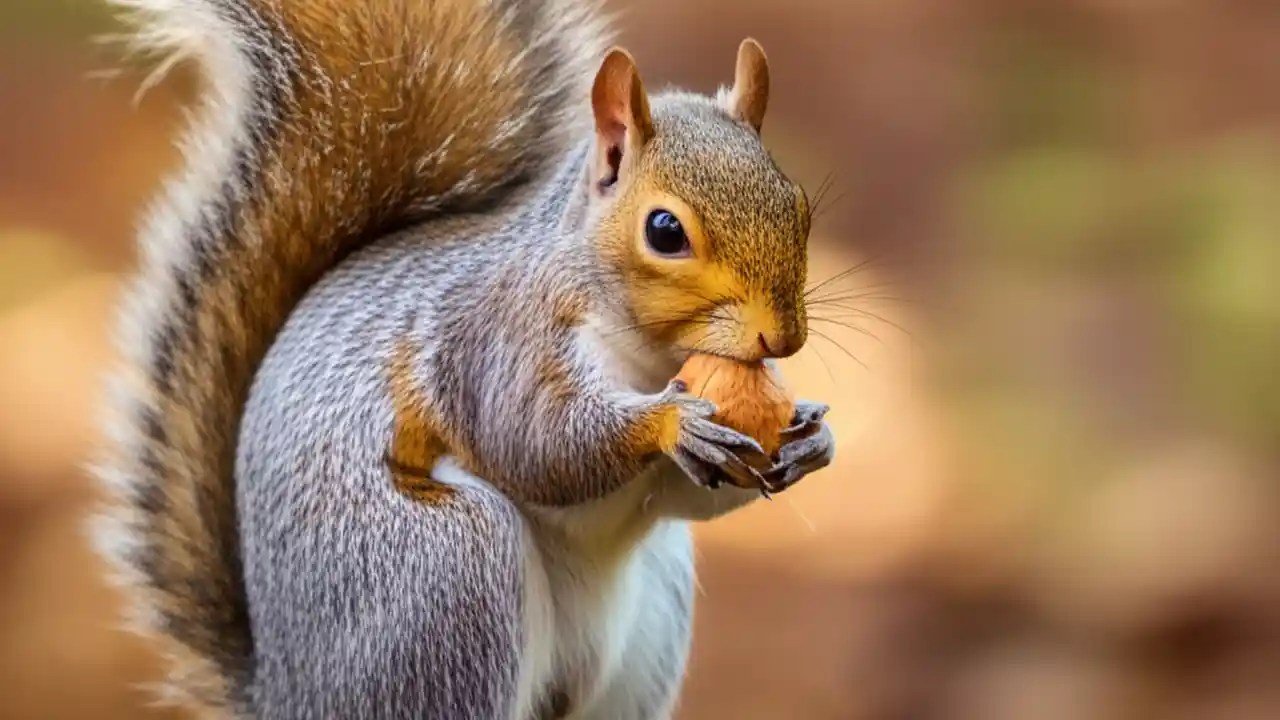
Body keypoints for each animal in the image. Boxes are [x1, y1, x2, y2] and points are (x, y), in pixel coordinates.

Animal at [93, 0, 835, 718]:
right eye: (664, 231)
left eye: (798, 205)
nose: (783, 338)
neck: (654, 361)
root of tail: (287, 693)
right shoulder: (497, 342)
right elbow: (537, 443)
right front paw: (673, 424)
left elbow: (693, 493)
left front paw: (811, 439)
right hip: (450, 578)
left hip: (646, 626)